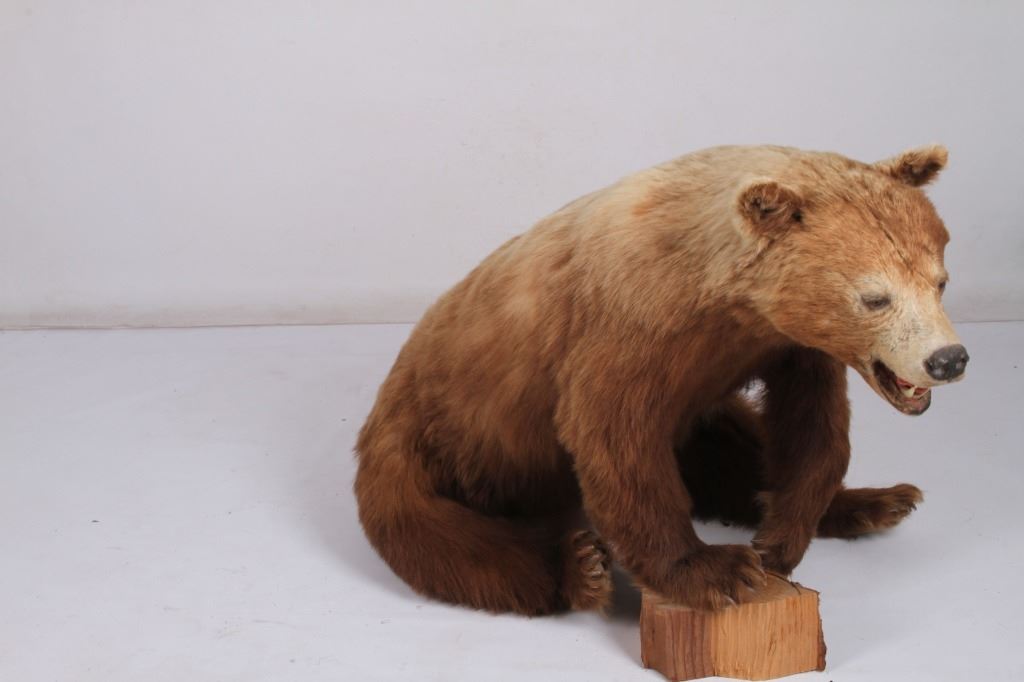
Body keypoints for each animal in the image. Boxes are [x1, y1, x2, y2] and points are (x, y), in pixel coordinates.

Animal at [354, 144, 968, 615]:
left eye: (939, 280)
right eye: (875, 297)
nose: (948, 359)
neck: (719, 297)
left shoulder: (783, 343)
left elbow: (812, 428)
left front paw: (781, 538)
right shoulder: (629, 327)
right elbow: (614, 438)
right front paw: (717, 569)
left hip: (697, 424)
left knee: (734, 454)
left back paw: (882, 501)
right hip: (428, 448)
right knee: (457, 549)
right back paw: (579, 567)